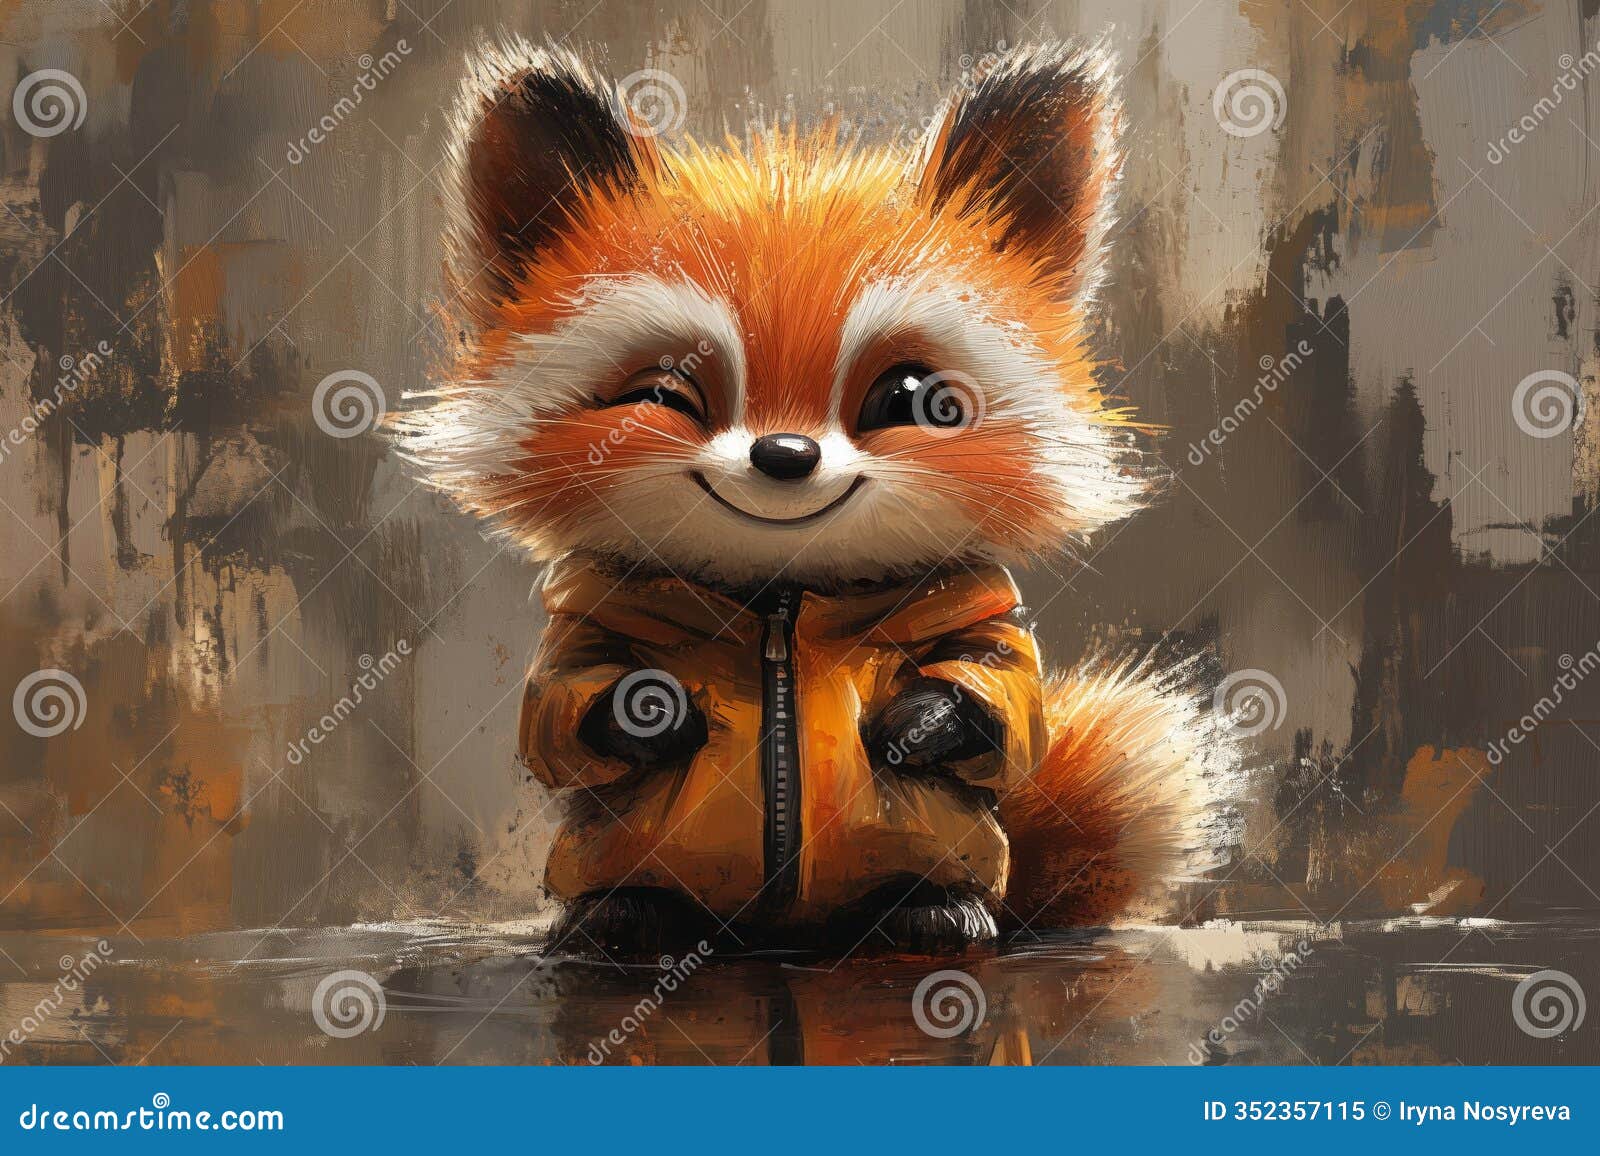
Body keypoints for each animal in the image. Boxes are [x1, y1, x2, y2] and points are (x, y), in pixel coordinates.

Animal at [396, 37, 1229, 955]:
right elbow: (559, 708)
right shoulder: (590, 609)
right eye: (667, 393)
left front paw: (928, 720)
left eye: (908, 398)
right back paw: (628, 909)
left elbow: (1006, 696)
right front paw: (646, 715)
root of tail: (780, 932)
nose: (786, 455)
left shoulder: (975, 603)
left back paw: (929, 907)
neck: (781, 592)